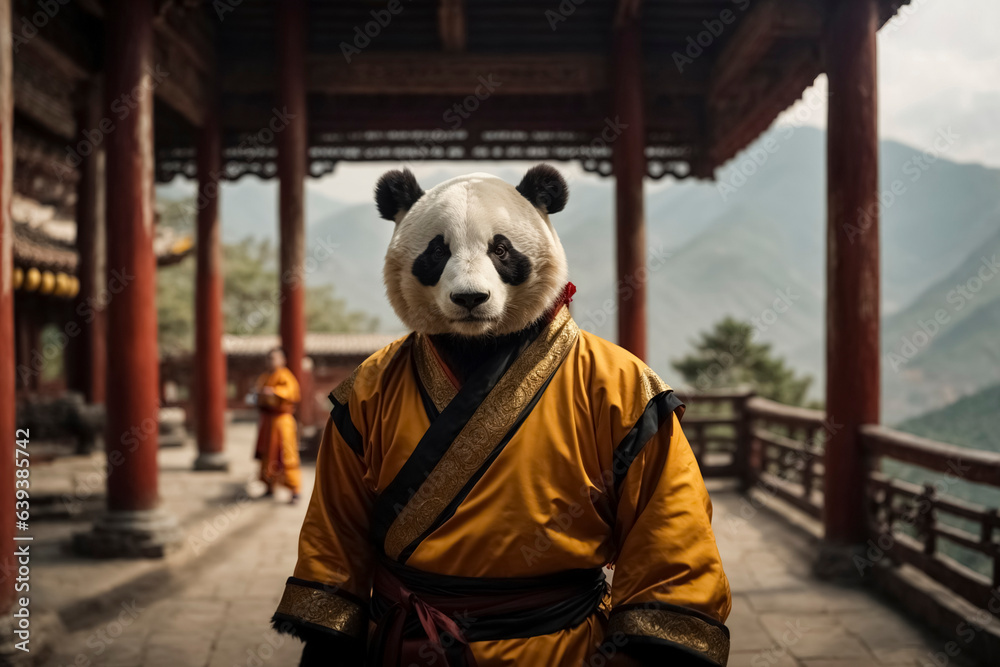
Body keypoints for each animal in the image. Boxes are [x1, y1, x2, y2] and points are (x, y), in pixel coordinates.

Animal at [272, 165, 732, 667]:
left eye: (501, 248)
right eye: (438, 250)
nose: (470, 298)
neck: (477, 346)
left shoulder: (633, 401)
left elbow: (656, 516)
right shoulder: (357, 403)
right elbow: (339, 531)